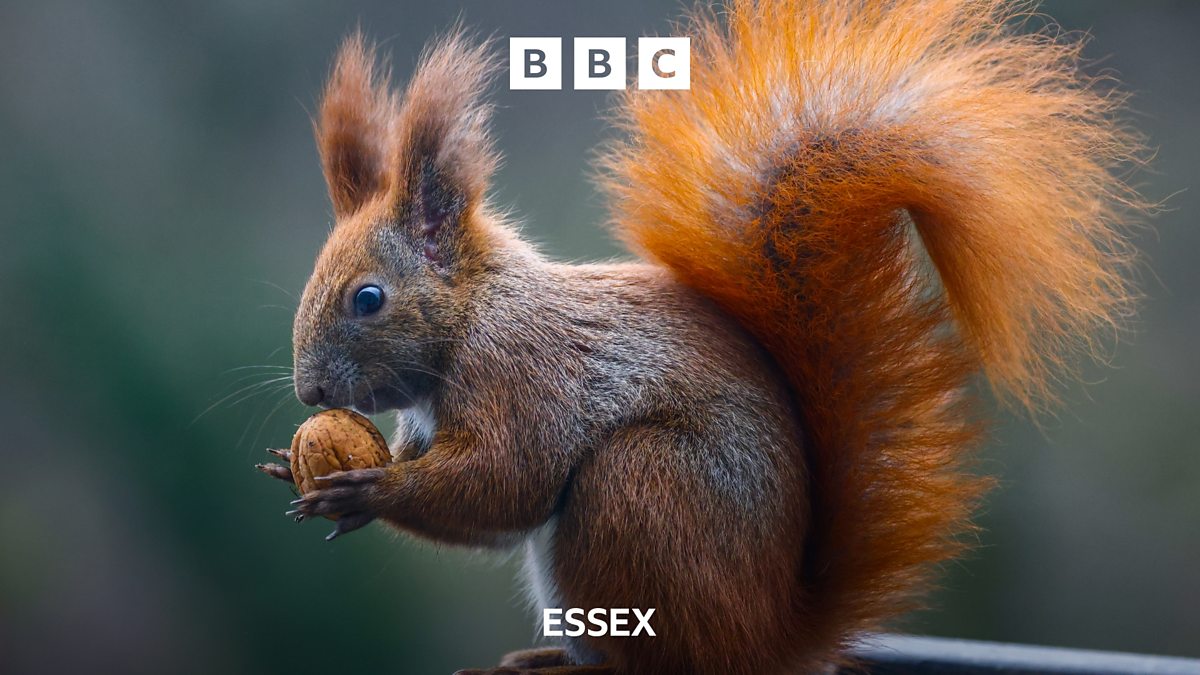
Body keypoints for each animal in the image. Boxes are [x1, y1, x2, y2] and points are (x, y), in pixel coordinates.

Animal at [276, 0, 1144, 672]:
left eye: (368, 298)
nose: (310, 391)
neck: (473, 316)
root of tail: (770, 634)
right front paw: (301, 468)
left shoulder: (526, 373)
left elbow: (505, 481)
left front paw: (366, 489)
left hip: (640, 489)